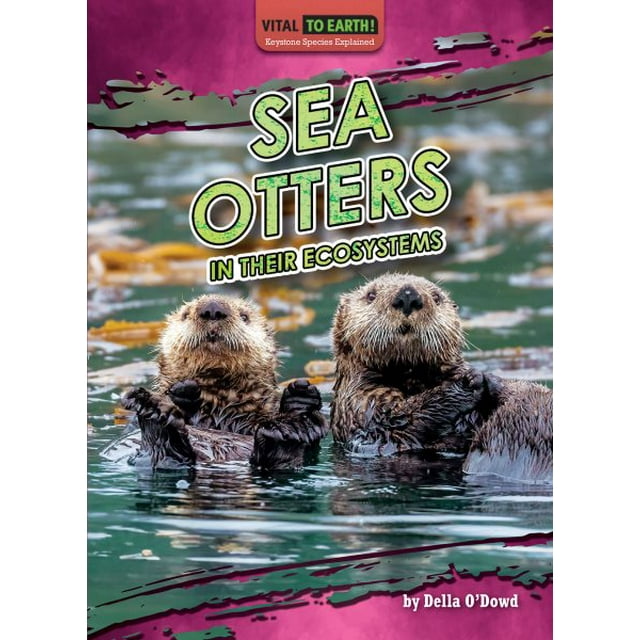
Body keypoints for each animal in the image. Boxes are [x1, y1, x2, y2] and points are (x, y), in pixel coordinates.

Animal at [117, 294, 327, 471]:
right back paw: (152, 409)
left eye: (244, 316)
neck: (219, 409)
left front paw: (303, 397)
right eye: (185, 315)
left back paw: (290, 421)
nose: (212, 309)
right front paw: (183, 392)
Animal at [330, 273, 552, 483]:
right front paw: (470, 381)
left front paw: (482, 379)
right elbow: (399, 422)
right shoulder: (363, 409)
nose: (408, 295)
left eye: (436, 297)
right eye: (371, 295)